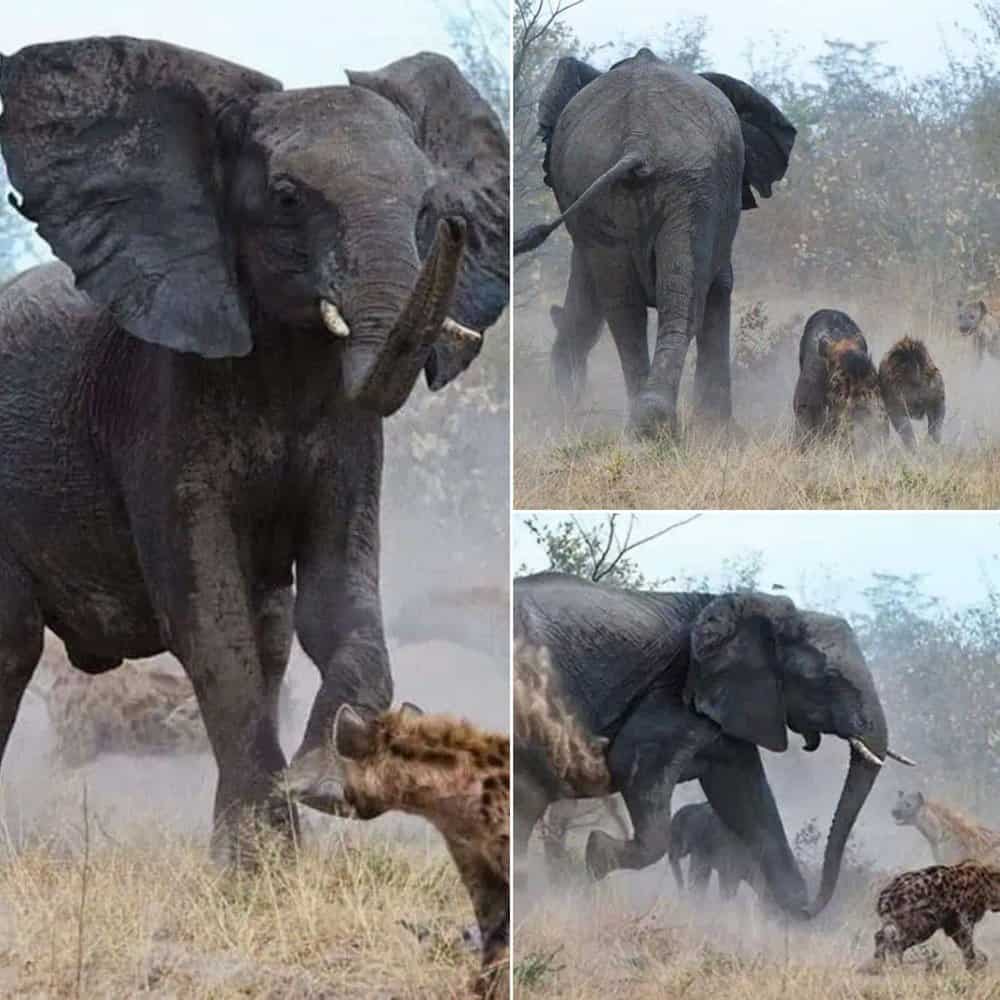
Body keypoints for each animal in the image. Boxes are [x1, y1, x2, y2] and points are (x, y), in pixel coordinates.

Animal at [0, 36, 508, 863]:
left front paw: (314, 796)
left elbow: (335, 600)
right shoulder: (159, 407)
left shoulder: (348, 434)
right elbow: (210, 620)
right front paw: (260, 859)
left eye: (431, 206)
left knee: (271, 637)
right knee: (11, 647)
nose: (455, 235)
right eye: (289, 198)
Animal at [513, 48, 796, 436]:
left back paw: (644, 424)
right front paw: (721, 434)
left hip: (603, 179)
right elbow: (720, 288)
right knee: (682, 300)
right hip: (693, 188)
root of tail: (638, 139)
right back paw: (658, 423)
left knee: (624, 308)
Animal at [513, 571, 915, 919]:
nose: (811, 905)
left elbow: (744, 792)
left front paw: (787, 915)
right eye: (828, 679)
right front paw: (596, 856)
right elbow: (633, 765)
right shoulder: (673, 693)